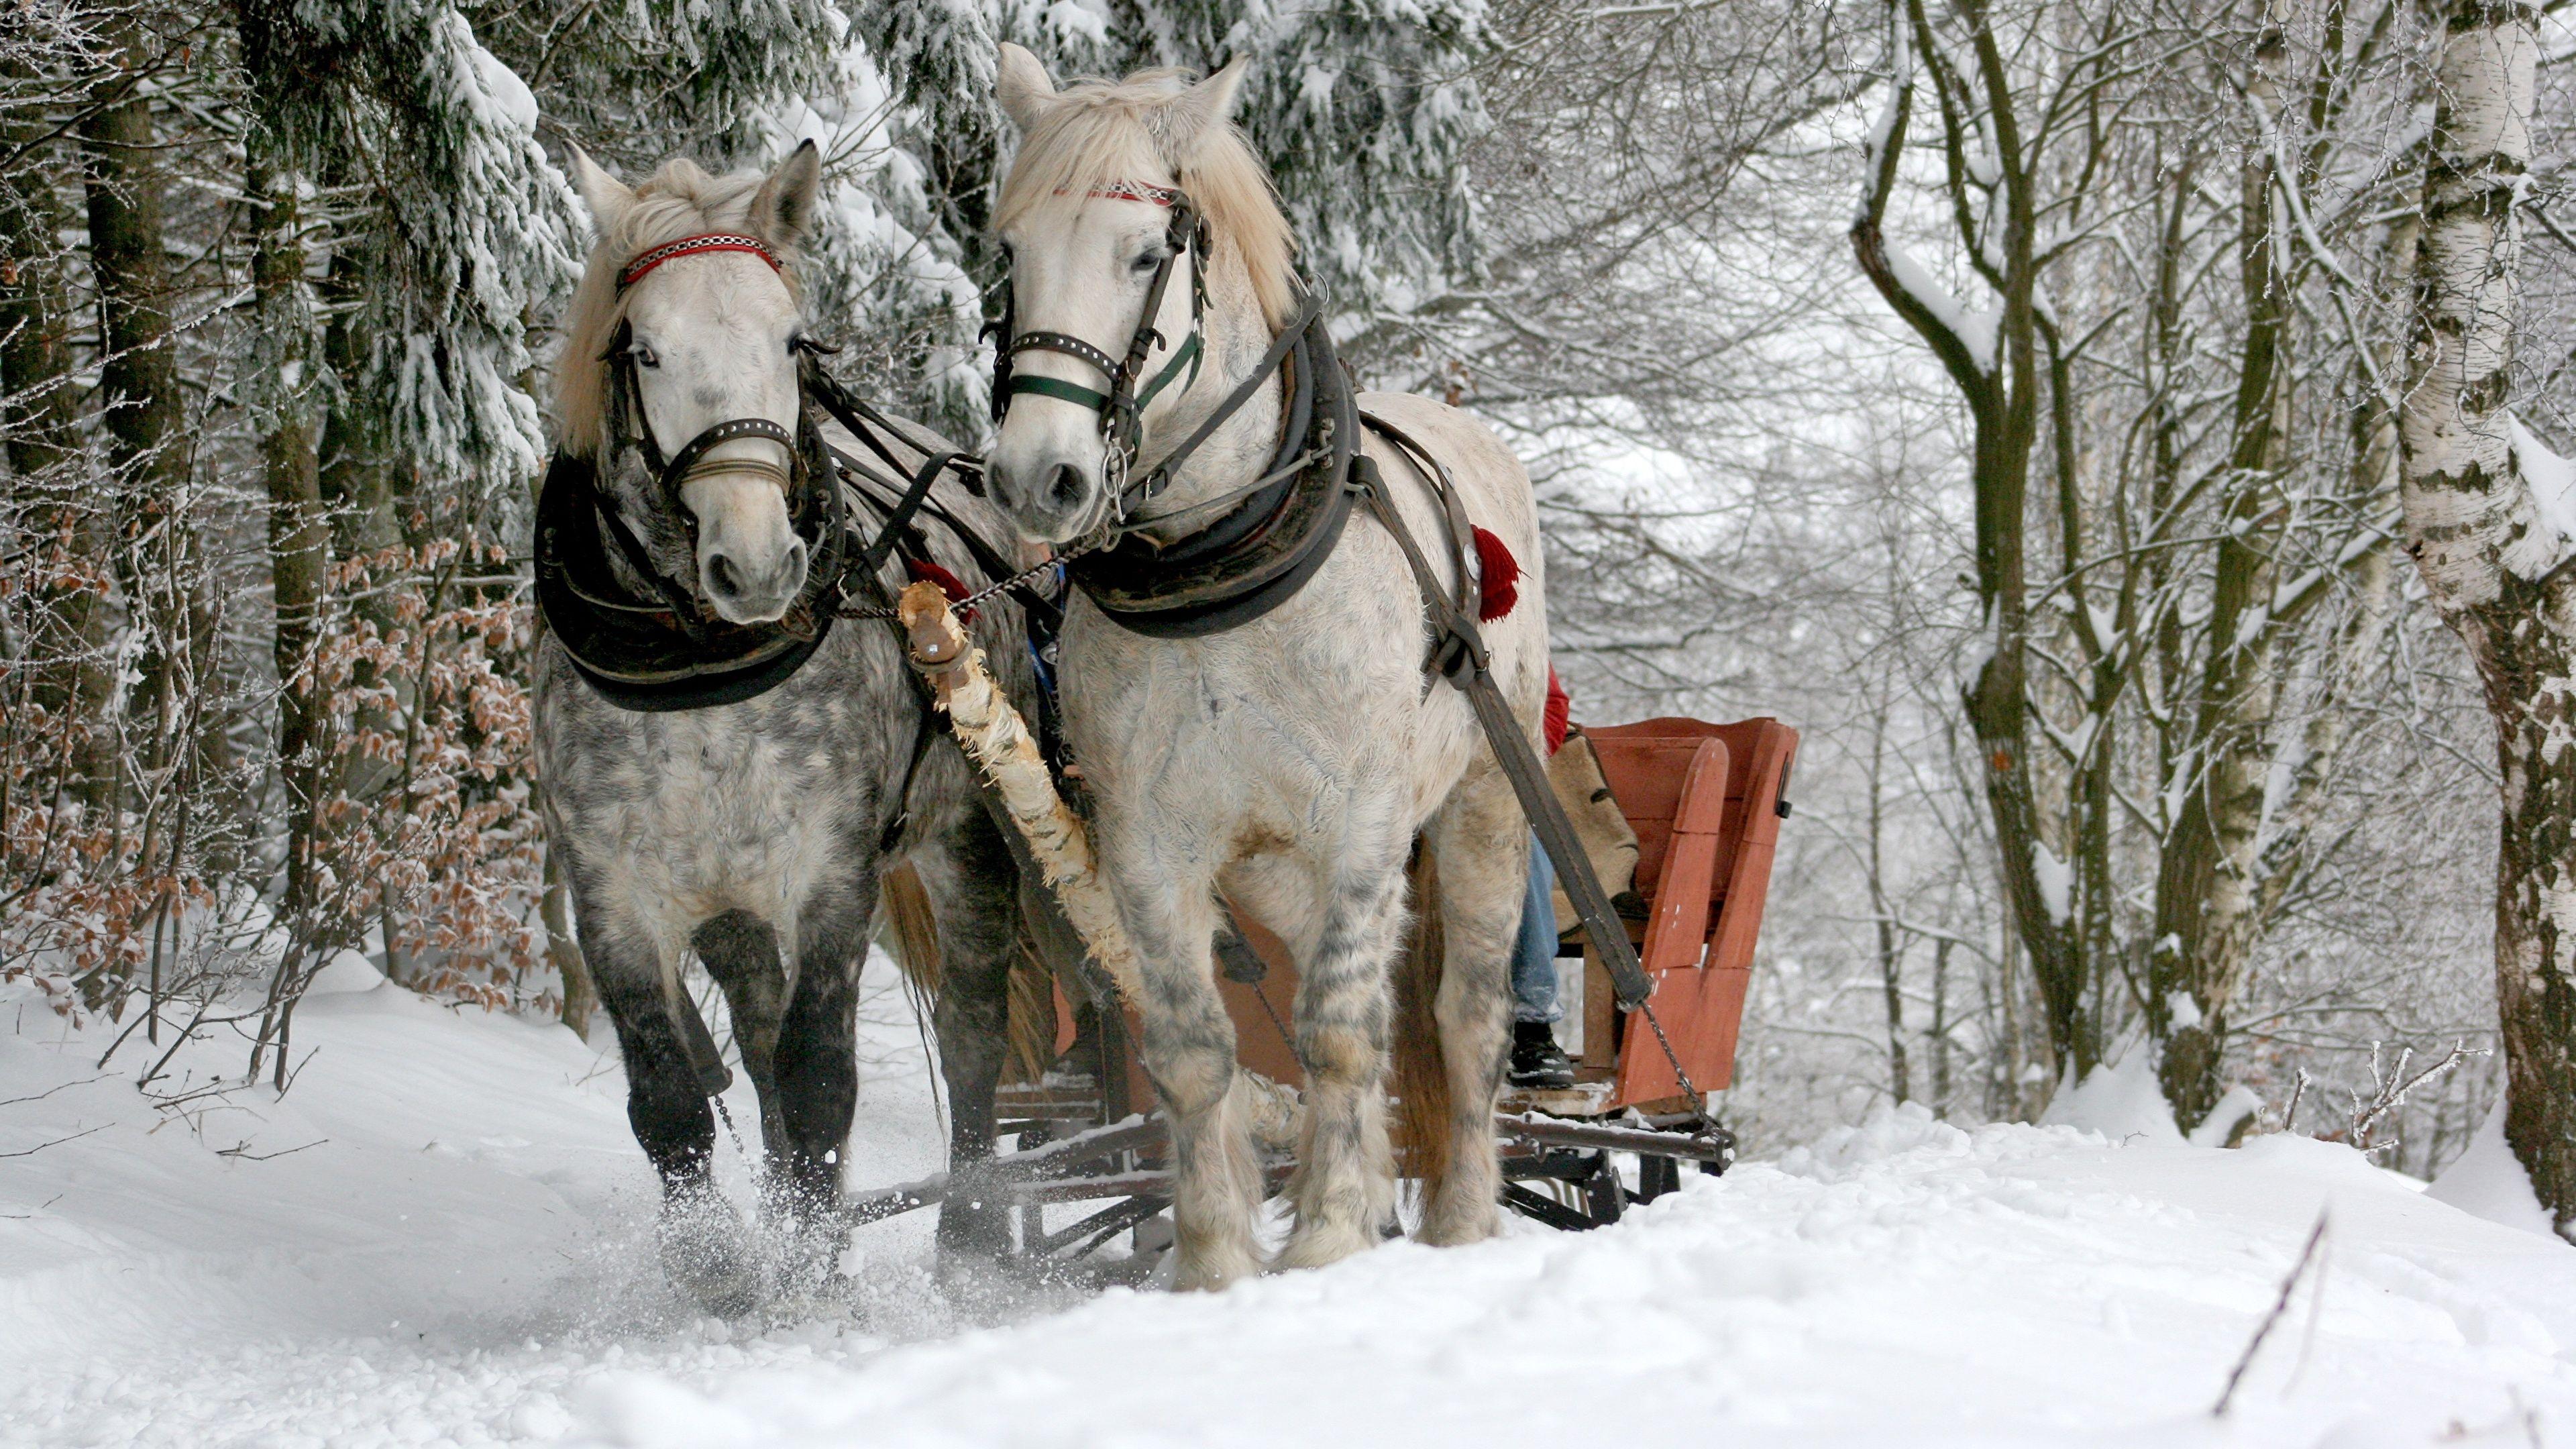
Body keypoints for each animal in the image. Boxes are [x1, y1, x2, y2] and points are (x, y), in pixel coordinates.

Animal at [534, 141, 1036, 1313]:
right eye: (647, 350)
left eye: (791, 342)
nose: (758, 564)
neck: (699, 669)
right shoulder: (614, 893)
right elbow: (672, 1095)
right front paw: (722, 1264)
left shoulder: (830, 872)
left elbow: (821, 1081)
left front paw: (816, 1276)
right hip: (730, 906)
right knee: (756, 1047)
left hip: (969, 838)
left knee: (974, 1029)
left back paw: (971, 1239)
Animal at [979, 48, 1552, 1289]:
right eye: (1012, 253)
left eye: (1146, 255)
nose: (1037, 479)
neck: (1221, 565)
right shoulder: (1149, 844)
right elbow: (1197, 1049)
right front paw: (1215, 1261)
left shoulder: (1366, 824)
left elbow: (1339, 1030)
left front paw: (1329, 1236)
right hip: (1276, 867)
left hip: (1484, 803)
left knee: (1462, 1014)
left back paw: (1461, 1218)